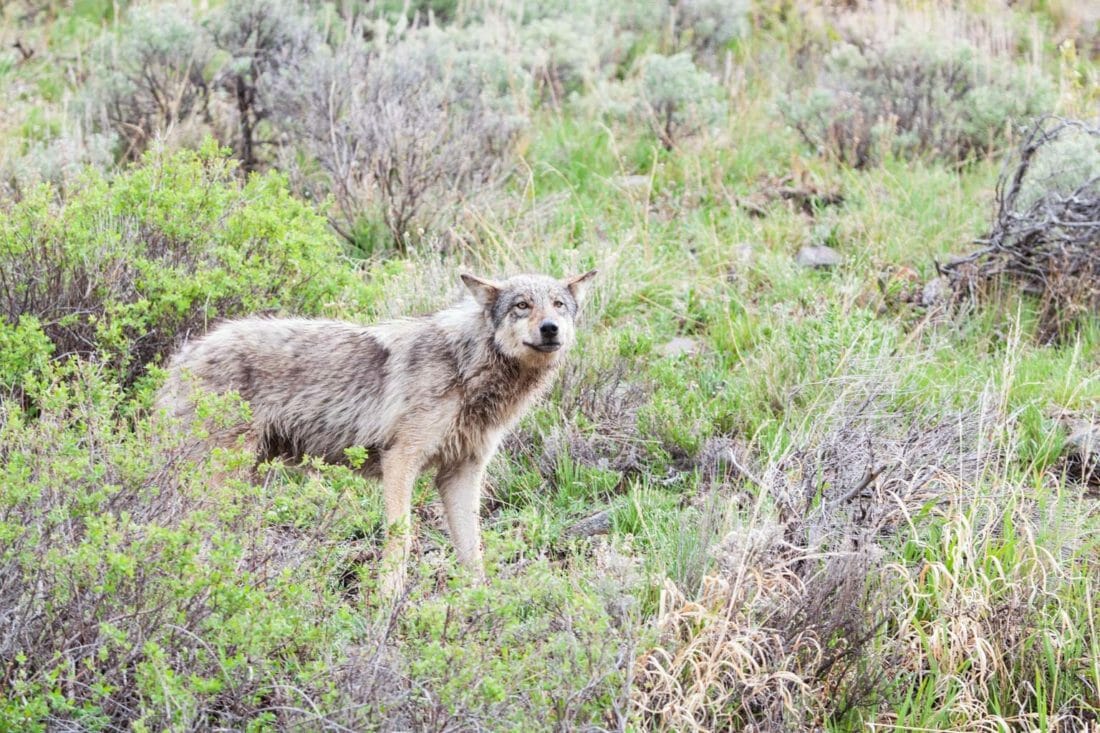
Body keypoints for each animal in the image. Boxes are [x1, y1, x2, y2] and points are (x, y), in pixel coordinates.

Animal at [158, 270, 597, 595]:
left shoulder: (462, 472)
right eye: (523, 305)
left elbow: (472, 547)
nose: (550, 328)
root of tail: (185, 355)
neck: (467, 366)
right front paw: (388, 602)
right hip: (221, 481)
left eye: (559, 305)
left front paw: (481, 600)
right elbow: (401, 538)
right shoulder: (400, 460)